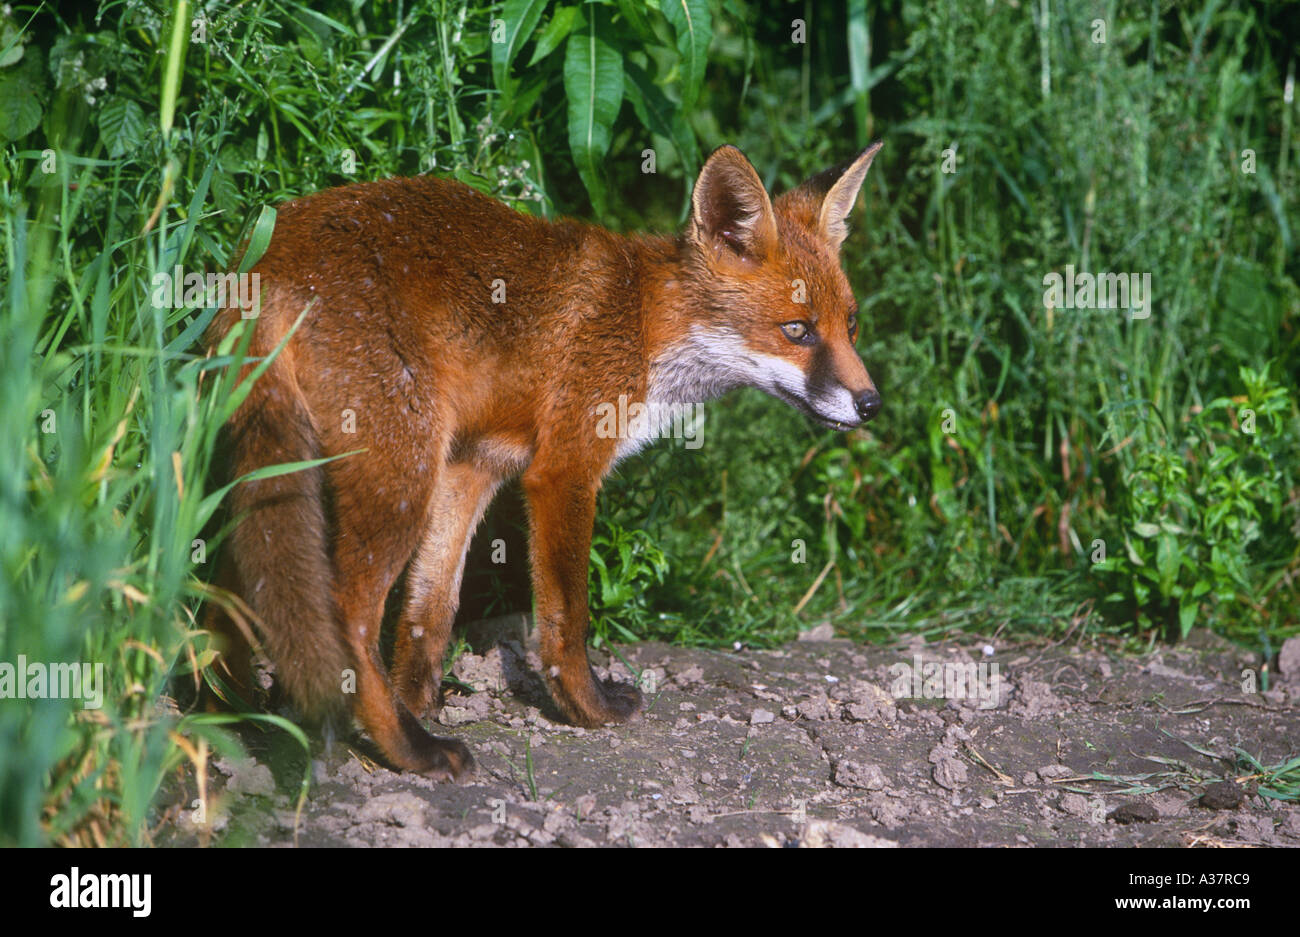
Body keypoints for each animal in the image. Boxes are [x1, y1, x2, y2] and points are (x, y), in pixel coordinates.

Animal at [204, 142, 884, 779]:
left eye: (850, 325)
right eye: (797, 331)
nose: (871, 404)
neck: (646, 327)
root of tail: (266, 261)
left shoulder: (474, 466)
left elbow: (432, 606)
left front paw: (416, 700)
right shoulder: (564, 468)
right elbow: (566, 615)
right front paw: (587, 709)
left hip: (292, 473)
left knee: (228, 590)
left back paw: (236, 718)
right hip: (399, 480)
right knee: (343, 615)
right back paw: (411, 751)